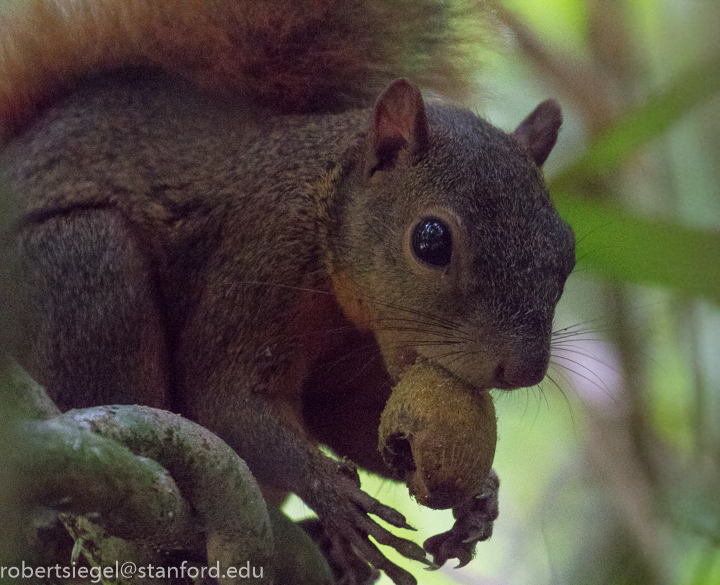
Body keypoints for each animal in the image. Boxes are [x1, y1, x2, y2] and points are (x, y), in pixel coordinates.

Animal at [0, 1, 576, 584]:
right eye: (431, 240)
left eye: (568, 249)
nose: (523, 369)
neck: (322, 205)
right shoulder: (260, 254)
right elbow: (226, 398)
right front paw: (333, 497)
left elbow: (345, 416)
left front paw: (480, 501)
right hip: (83, 263)